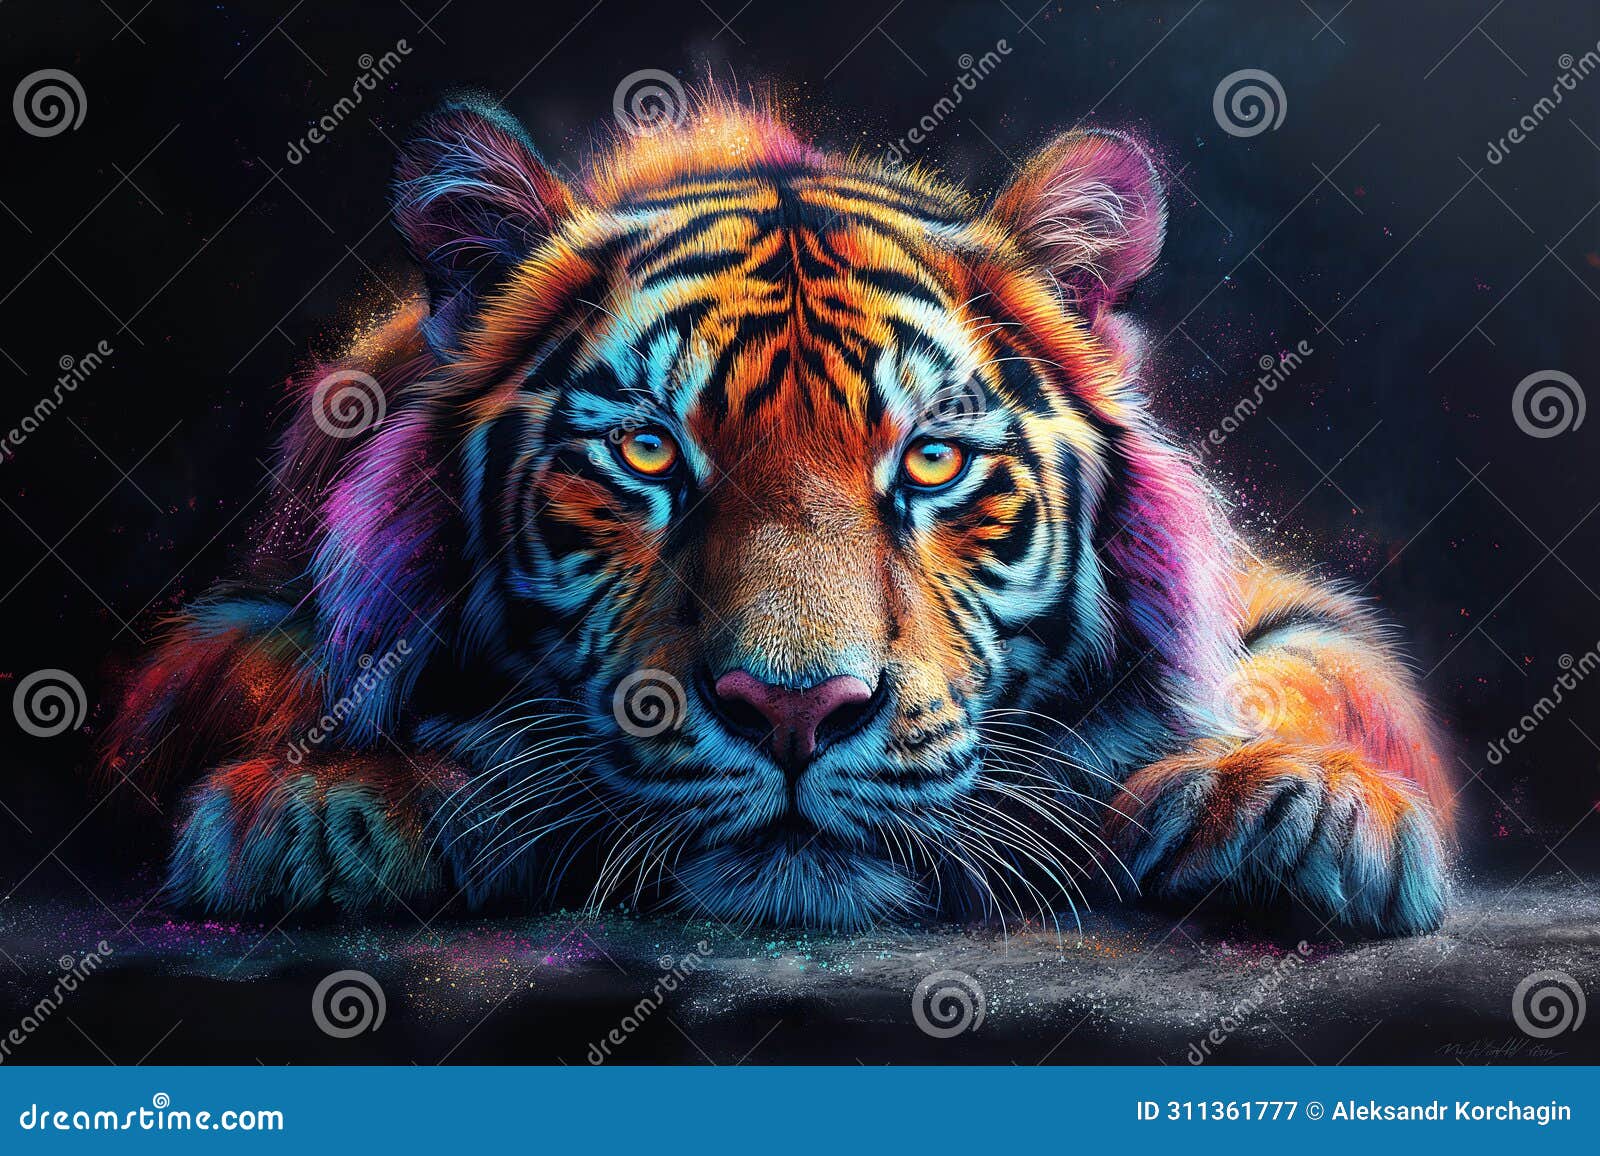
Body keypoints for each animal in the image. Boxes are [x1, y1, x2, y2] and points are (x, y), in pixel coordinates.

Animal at [104, 90, 1452, 936]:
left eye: (930, 461)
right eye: (647, 449)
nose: (795, 711)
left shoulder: (1290, 612)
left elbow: (1301, 682)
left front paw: (1294, 803)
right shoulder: (228, 625)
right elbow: (279, 684)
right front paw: (325, 806)